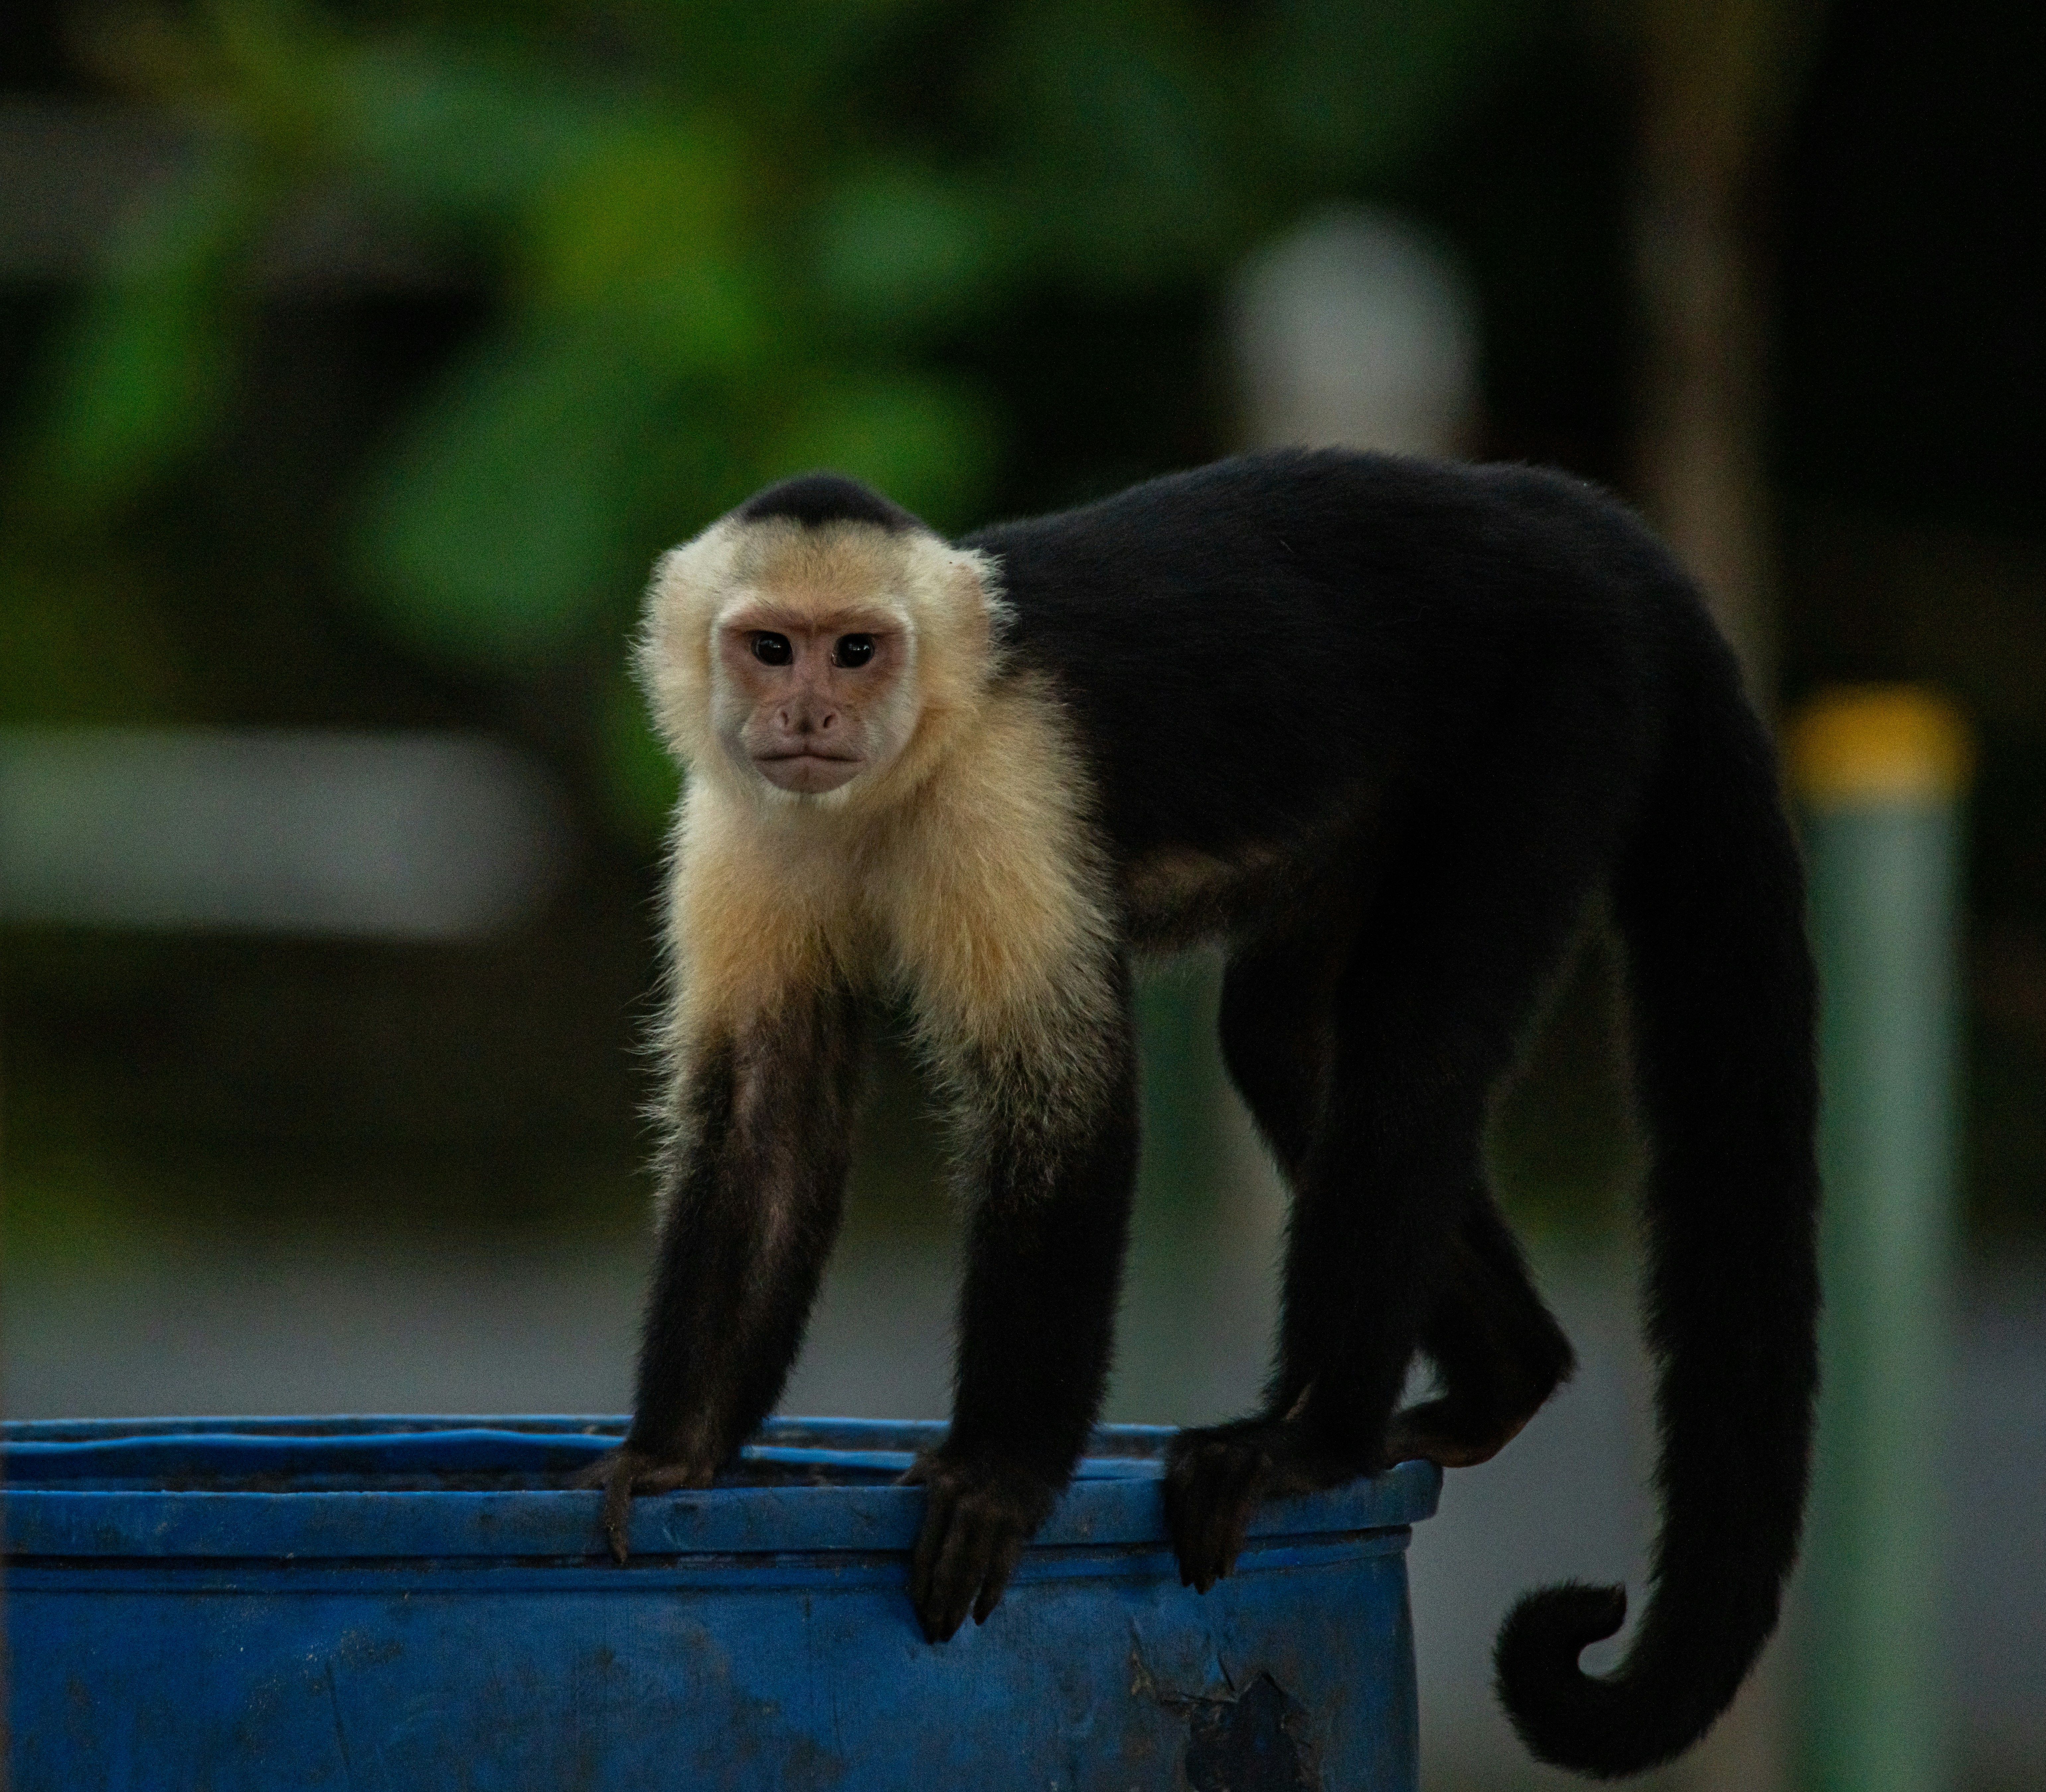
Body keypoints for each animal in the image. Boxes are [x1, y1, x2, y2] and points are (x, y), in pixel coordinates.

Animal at [593, 449, 1819, 1780]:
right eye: (771, 648)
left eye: (857, 651)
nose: (810, 715)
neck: (905, 766)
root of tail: (1551, 508)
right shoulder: (739, 820)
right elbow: (766, 1115)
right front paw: (678, 1451)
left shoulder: (1008, 793)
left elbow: (1064, 1107)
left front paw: (999, 1475)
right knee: (1282, 1040)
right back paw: (1501, 1377)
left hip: (1555, 704)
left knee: (1409, 1060)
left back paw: (1314, 1441)